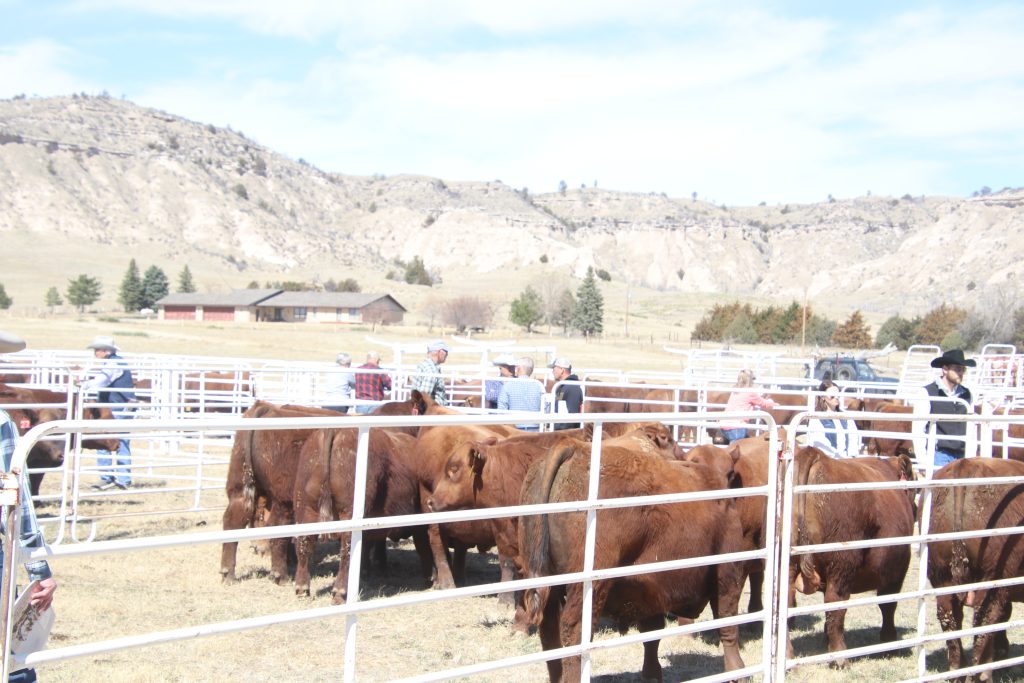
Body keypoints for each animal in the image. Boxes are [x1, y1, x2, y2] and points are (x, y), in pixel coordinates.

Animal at [518, 437, 746, 682]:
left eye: (732, 472)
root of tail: (576, 449)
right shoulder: (727, 572)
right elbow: (727, 622)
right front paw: (738, 670)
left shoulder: (649, 588)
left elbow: (652, 633)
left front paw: (652, 674)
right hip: (589, 586)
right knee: (574, 631)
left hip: (545, 581)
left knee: (550, 634)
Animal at [790, 446, 915, 664]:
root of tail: (816, 455)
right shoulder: (897, 568)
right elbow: (888, 604)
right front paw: (889, 642)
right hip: (843, 562)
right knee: (836, 602)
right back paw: (840, 657)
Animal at [926, 457, 1024, 680]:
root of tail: (965, 464)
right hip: (994, 578)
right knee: (985, 619)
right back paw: (982, 674)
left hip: (941, 575)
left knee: (950, 618)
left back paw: (958, 672)